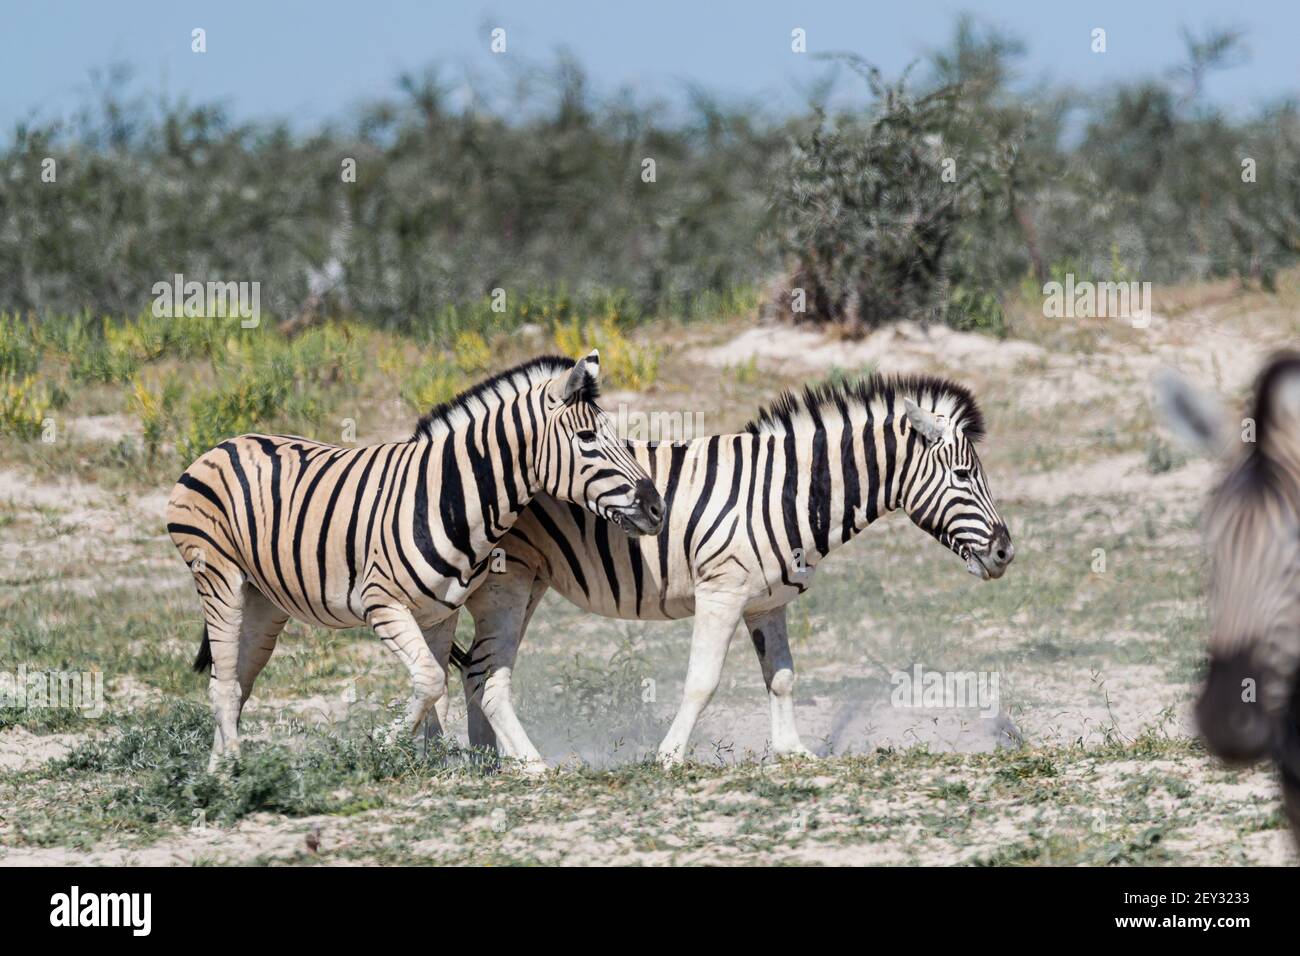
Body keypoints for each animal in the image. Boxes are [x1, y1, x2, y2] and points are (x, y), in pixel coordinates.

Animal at [166, 351, 664, 769]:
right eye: (587, 438)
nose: (657, 507)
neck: (452, 497)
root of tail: (221, 445)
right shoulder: (380, 602)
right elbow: (428, 680)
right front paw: (382, 749)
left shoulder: (439, 612)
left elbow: (437, 688)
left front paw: (437, 763)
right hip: (219, 578)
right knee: (223, 684)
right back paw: (231, 777)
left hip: (264, 601)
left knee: (237, 680)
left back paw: (217, 774)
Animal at [453, 373, 1014, 770]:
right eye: (963, 474)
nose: (1006, 552)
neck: (785, 491)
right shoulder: (721, 593)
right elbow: (702, 680)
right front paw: (670, 757)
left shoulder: (769, 602)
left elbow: (782, 677)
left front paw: (792, 751)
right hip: (507, 581)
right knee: (481, 669)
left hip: (527, 584)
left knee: (478, 668)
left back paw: (491, 760)